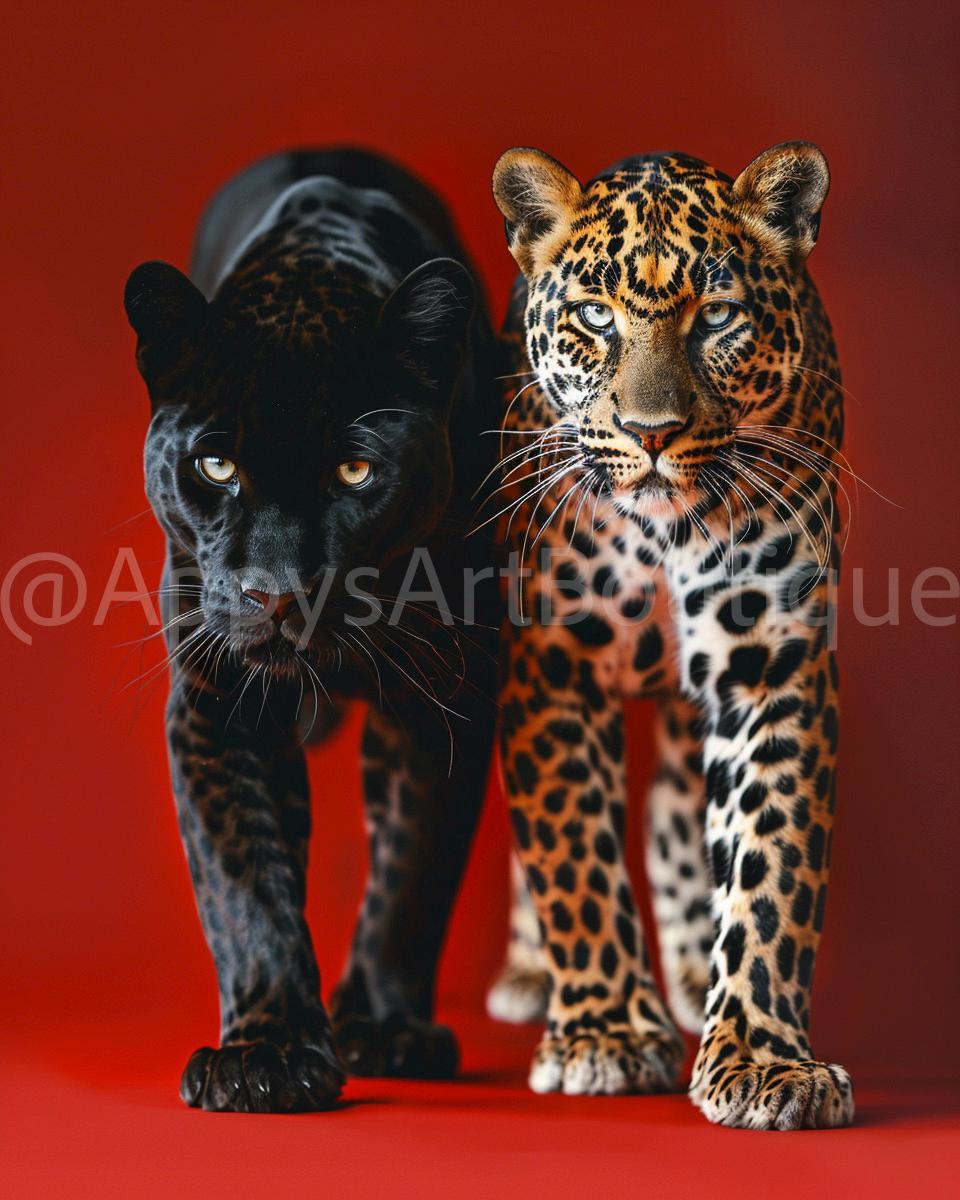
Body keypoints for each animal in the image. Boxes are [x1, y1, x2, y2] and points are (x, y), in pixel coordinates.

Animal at [124, 148, 502, 1112]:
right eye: (216, 464)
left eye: (355, 471)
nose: (276, 593)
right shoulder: (218, 699)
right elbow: (244, 881)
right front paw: (267, 1054)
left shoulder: (444, 695)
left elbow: (414, 869)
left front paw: (389, 1031)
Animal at [488, 141, 855, 1130]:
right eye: (594, 316)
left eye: (717, 316)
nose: (650, 434)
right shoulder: (550, 665)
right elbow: (573, 856)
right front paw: (607, 1034)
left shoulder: (771, 665)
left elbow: (768, 870)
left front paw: (763, 1060)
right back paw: (532, 972)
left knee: (680, 810)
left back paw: (693, 971)